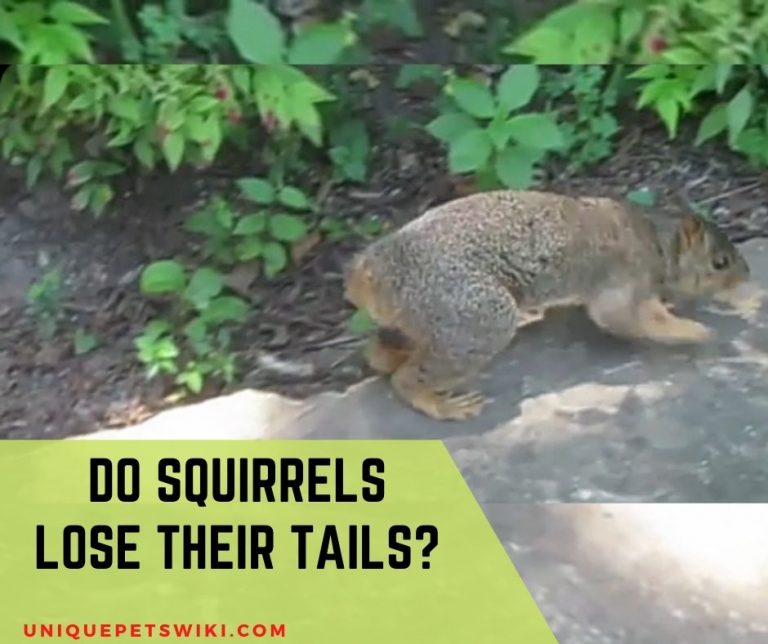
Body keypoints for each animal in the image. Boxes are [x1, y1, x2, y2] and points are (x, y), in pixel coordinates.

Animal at [343, 190, 751, 421]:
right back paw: (440, 404)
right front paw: (695, 331)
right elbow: (627, 320)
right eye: (719, 262)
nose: (746, 276)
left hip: (430, 317)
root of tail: (367, 274)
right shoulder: (621, 282)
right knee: (404, 378)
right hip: (478, 316)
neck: (658, 242)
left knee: (380, 354)